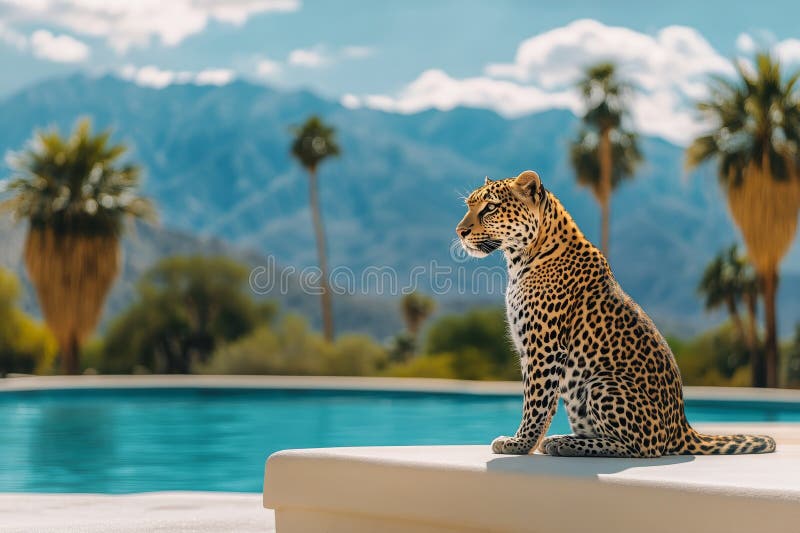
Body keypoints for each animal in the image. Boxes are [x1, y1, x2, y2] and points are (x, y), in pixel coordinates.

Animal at [456, 170, 776, 457]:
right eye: (469, 205)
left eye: (490, 208)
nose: (460, 232)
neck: (520, 259)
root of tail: (683, 427)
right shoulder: (530, 349)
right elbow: (540, 401)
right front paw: (525, 443)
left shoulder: (545, 347)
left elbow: (536, 401)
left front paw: (519, 444)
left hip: (601, 383)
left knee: (644, 447)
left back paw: (564, 444)